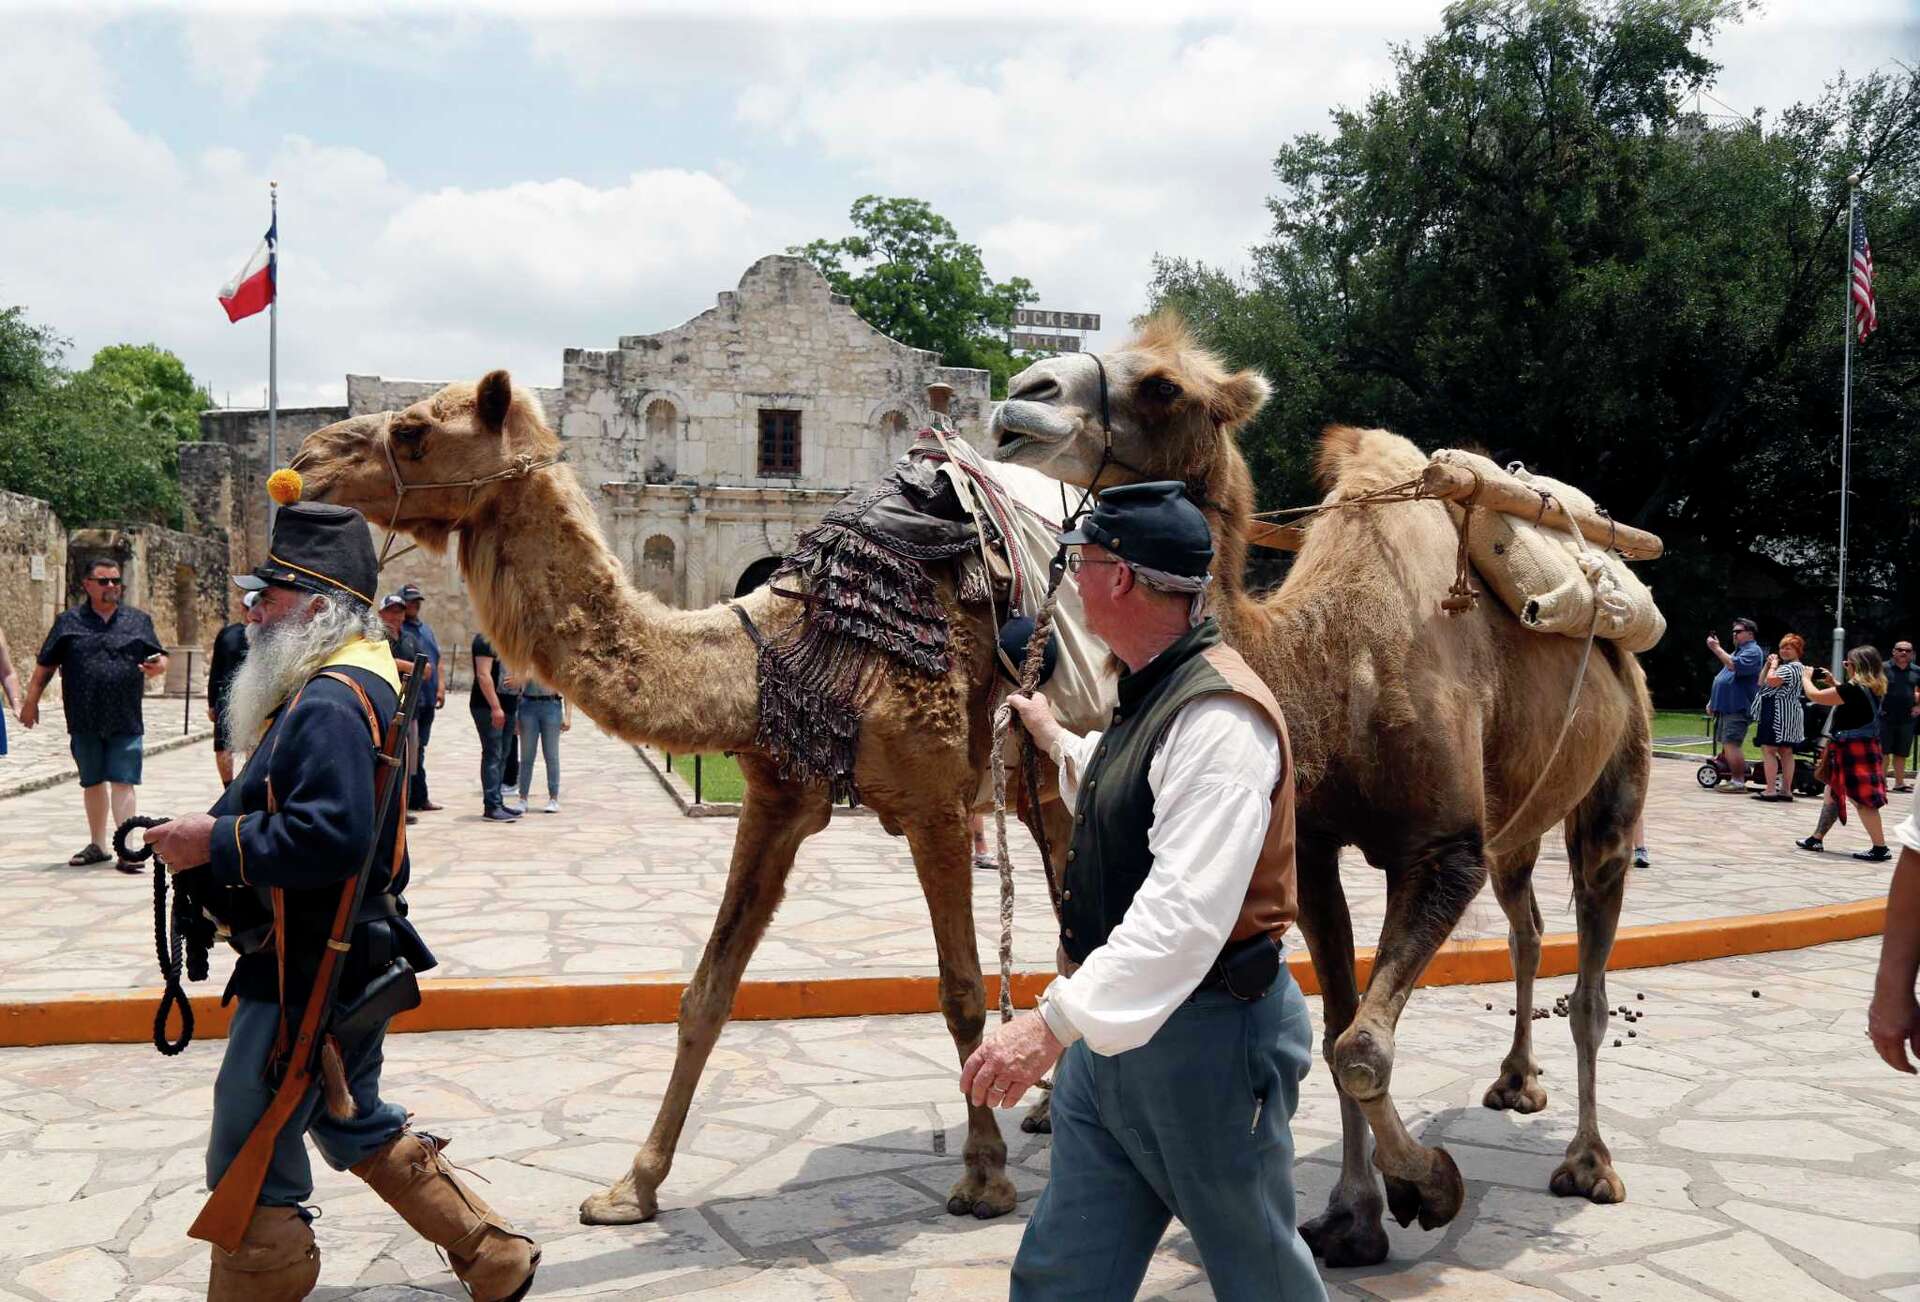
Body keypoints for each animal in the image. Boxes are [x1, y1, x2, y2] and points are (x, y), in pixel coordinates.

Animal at [281, 372, 1209, 1227]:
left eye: (413, 434)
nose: (305, 461)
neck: (783, 646)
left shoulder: (937, 804)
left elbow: (961, 991)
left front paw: (983, 1178)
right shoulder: (779, 799)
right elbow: (706, 992)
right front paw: (630, 1188)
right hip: (1033, 786)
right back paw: (1051, 1108)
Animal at [990, 315, 1652, 1266]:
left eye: (1164, 386)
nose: (1021, 394)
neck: (1325, 670)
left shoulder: (1443, 847)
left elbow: (1362, 1045)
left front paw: (1430, 1186)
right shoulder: (1310, 851)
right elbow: (1338, 1020)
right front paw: (1352, 1217)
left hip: (1615, 782)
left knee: (1593, 975)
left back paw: (1589, 1166)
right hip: (1519, 820)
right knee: (1526, 926)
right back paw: (1515, 1082)